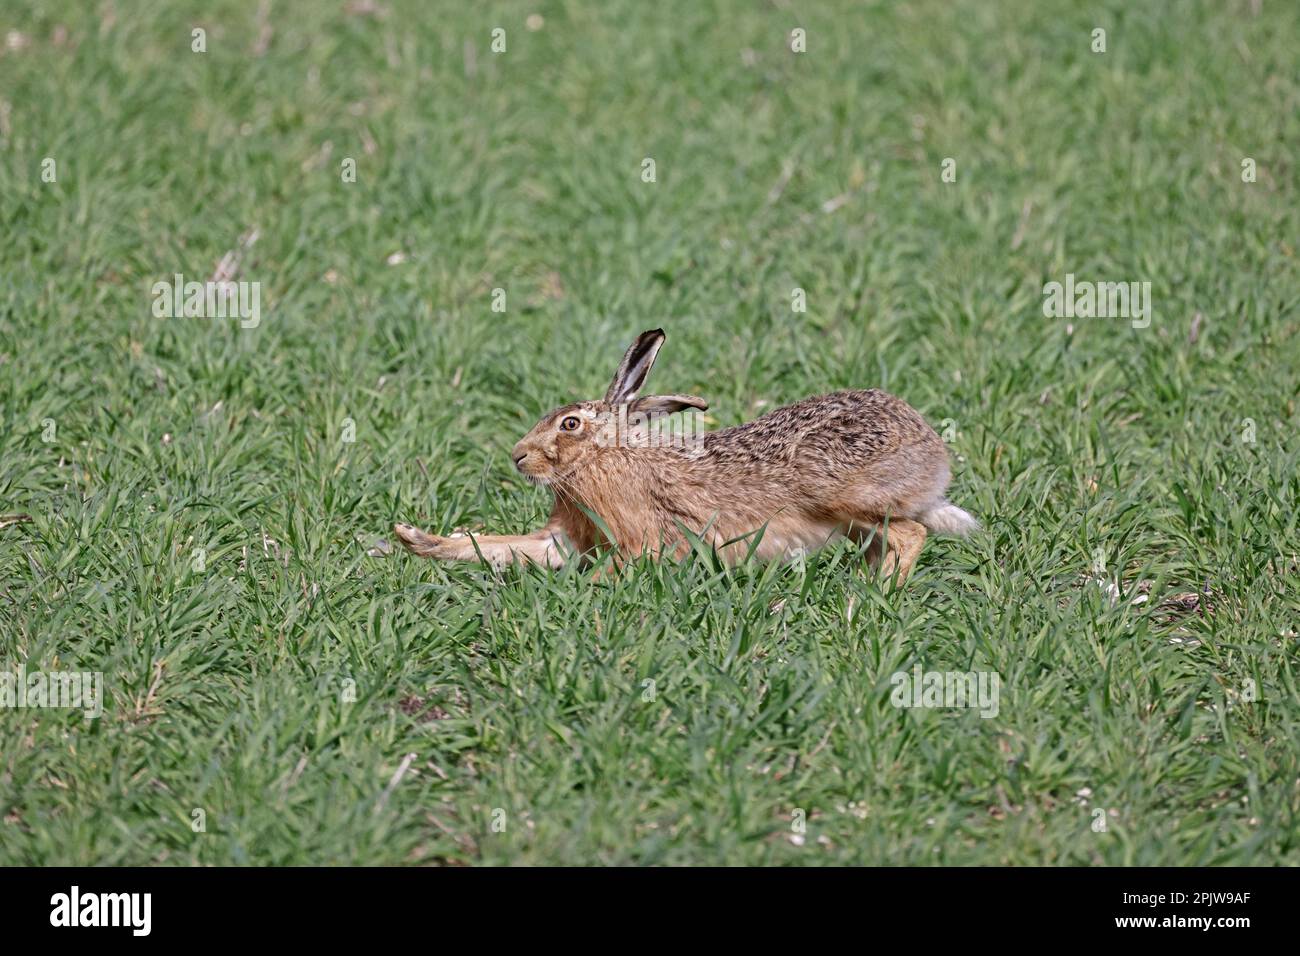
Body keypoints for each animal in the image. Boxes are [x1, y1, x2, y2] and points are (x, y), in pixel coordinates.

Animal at [394, 329, 977, 584]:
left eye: (570, 424)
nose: (518, 457)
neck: (602, 461)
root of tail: (933, 453)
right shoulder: (567, 537)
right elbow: (501, 546)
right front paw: (416, 540)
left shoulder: (636, 541)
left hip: (844, 498)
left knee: (910, 534)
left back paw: (873, 593)